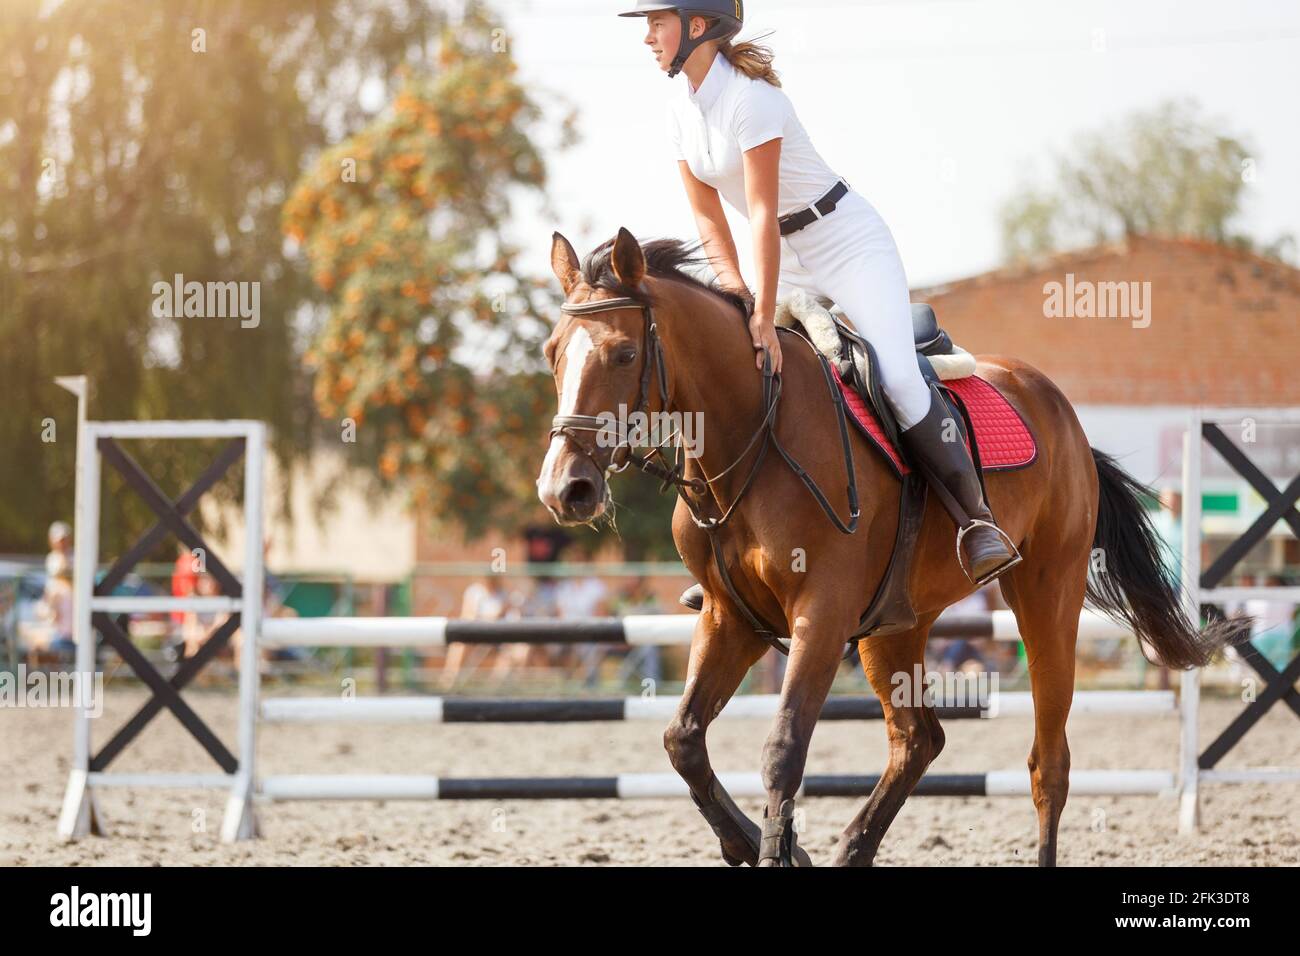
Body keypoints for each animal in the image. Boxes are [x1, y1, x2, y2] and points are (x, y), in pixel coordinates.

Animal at [536, 226, 1240, 867]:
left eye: (625, 353)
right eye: (551, 354)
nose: (564, 489)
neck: (752, 440)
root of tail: (1060, 410)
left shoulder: (820, 616)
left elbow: (783, 750)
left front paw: (779, 849)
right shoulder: (729, 615)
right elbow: (682, 738)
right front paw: (755, 844)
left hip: (1046, 596)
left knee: (1049, 763)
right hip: (895, 624)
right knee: (916, 740)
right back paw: (852, 849)